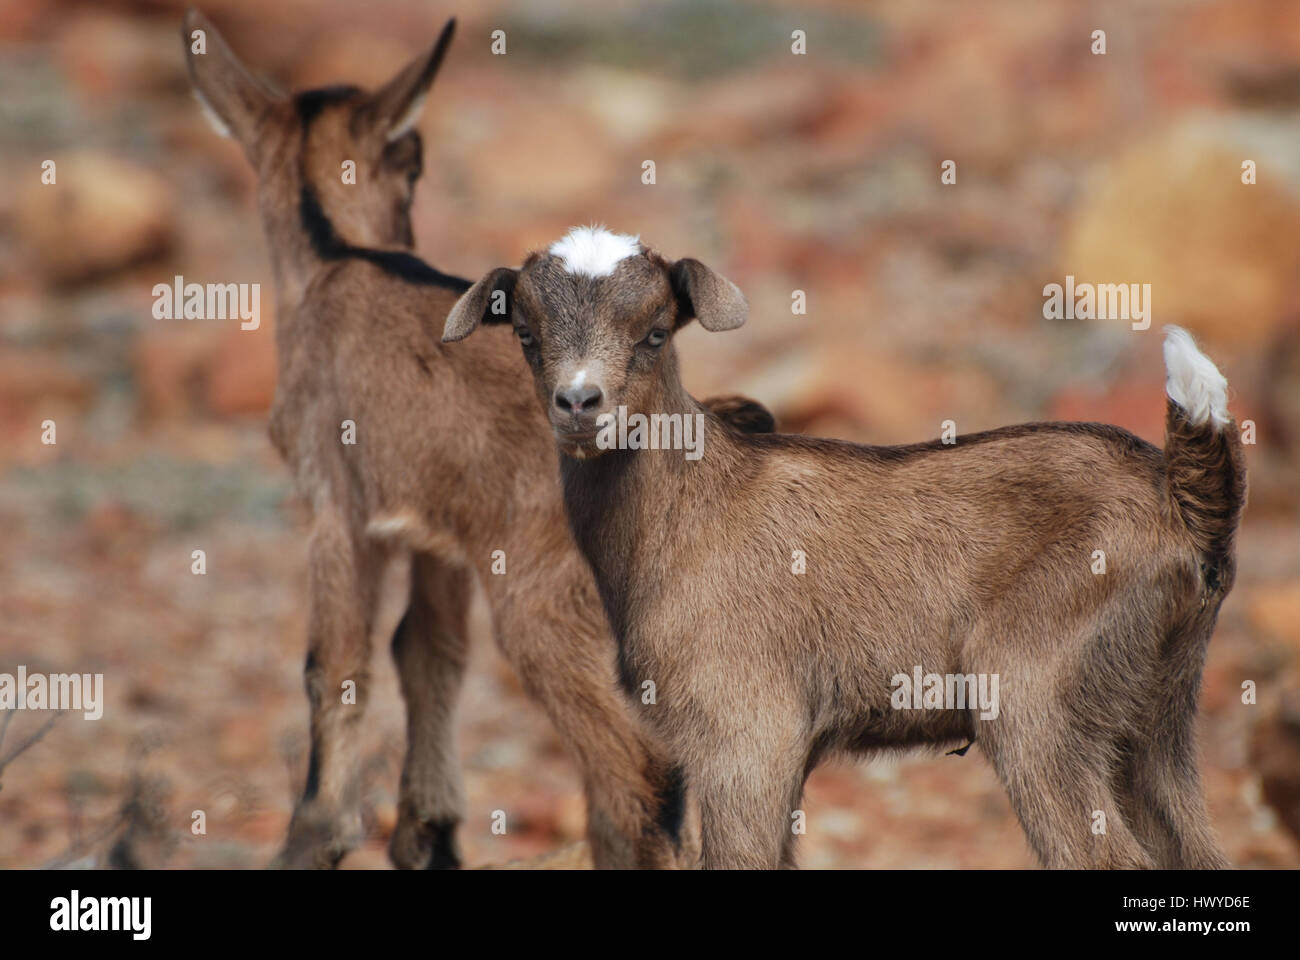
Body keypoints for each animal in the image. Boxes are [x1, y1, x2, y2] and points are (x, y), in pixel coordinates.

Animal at [183, 14, 772, 868]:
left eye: (415, 160)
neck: (337, 258)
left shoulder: (338, 509)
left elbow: (336, 667)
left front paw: (318, 836)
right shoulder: (443, 535)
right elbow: (427, 655)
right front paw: (428, 833)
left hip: (545, 611)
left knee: (641, 779)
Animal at [442, 225, 1247, 869]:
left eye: (654, 333)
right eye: (526, 335)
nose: (580, 405)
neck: (687, 512)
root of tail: (1182, 503)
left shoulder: (745, 731)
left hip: (1038, 697)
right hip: (1157, 715)